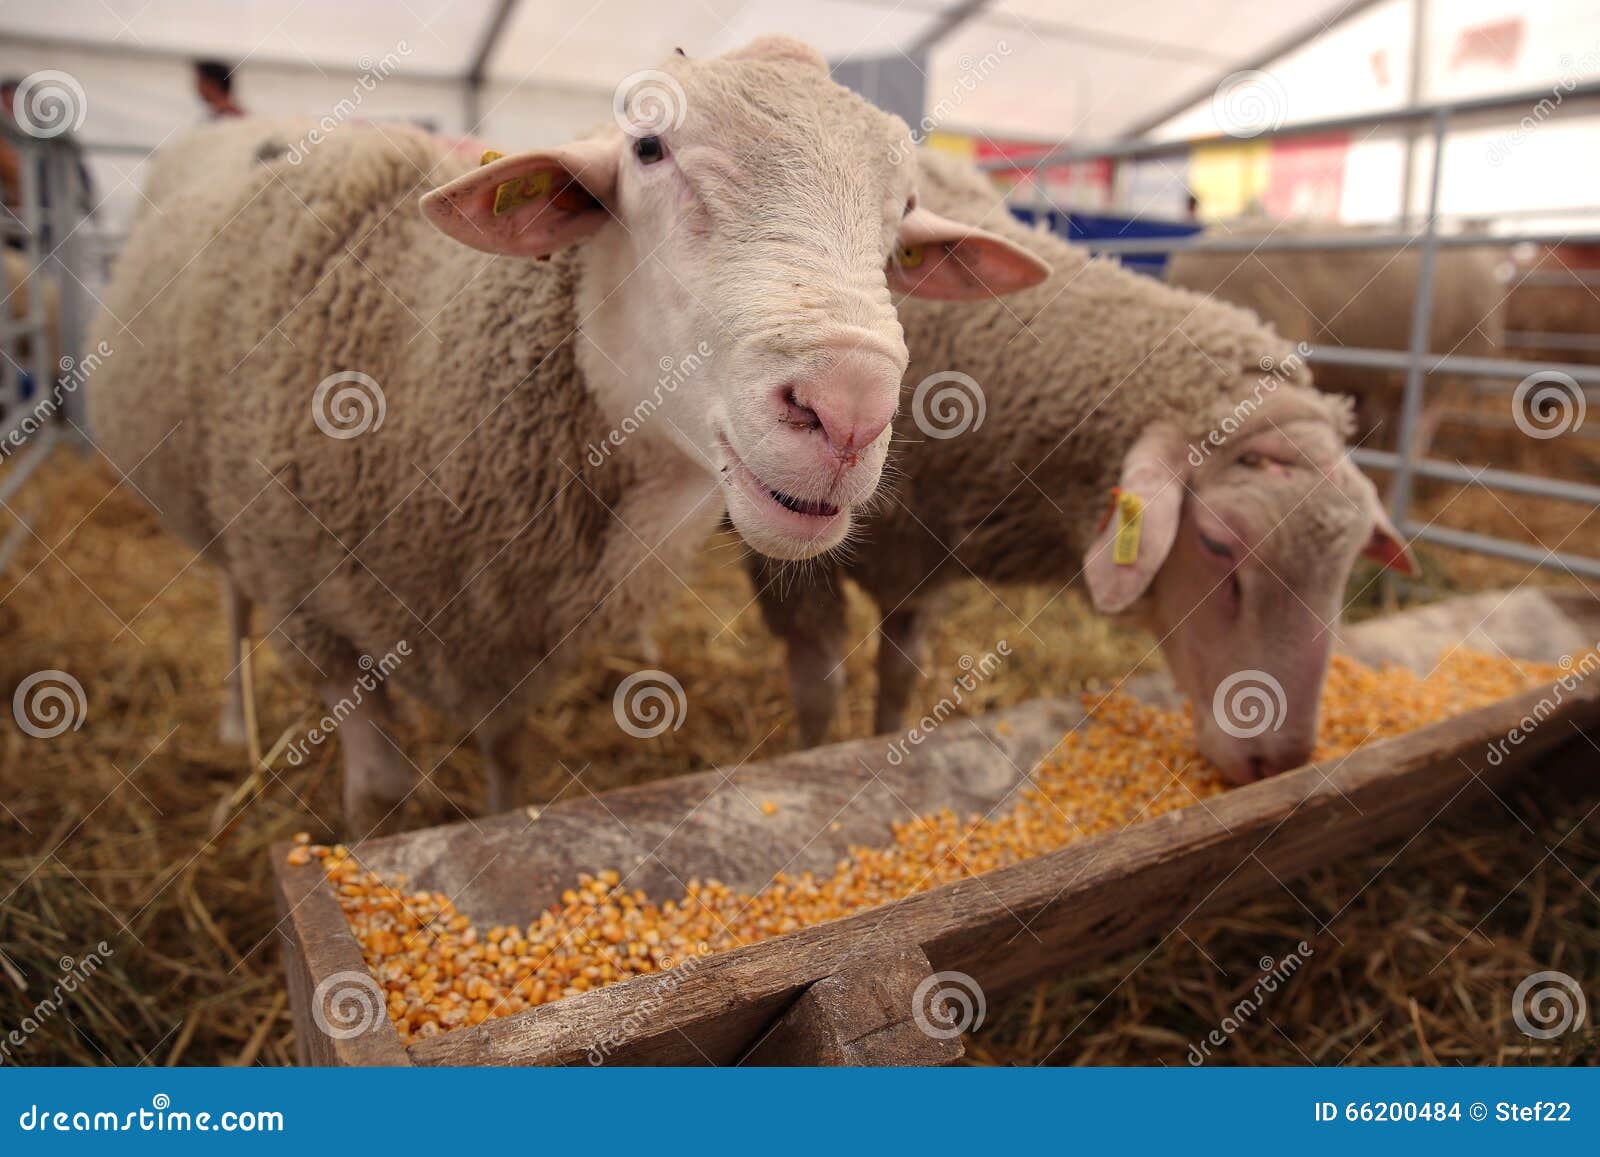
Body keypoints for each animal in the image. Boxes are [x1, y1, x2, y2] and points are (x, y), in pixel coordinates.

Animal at [87, 38, 1048, 834]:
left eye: (906, 210)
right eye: (648, 148)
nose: (846, 407)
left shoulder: (507, 626)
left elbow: (507, 751)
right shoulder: (317, 618)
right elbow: (378, 796)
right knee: (228, 601)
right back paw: (232, 719)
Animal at [749, 150, 1417, 785]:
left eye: (1350, 561)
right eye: (1215, 545)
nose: (1279, 763)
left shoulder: (919, 561)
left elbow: (897, 679)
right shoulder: (793, 556)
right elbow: (819, 688)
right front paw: (814, 758)